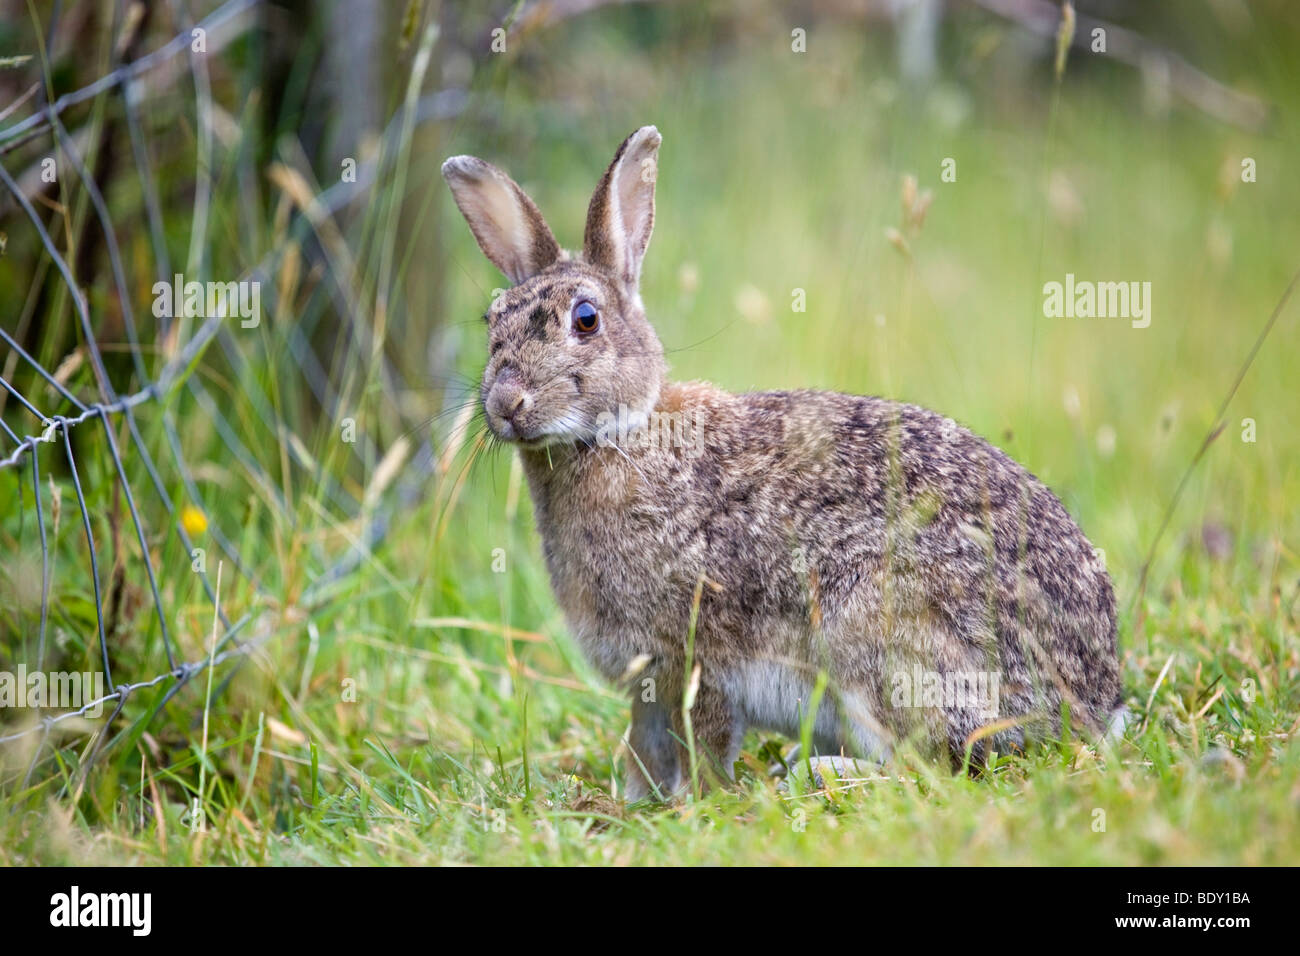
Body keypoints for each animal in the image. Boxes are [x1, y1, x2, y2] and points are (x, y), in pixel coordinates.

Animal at [441, 126, 1124, 801]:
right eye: (492, 322)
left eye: (585, 320)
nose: (505, 404)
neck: (617, 438)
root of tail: (1096, 700)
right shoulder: (646, 680)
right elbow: (646, 744)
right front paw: (635, 802)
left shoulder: (697, 655)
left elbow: (701, 736)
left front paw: (697, 801)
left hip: (874, 636)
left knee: (938, 761)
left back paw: (819, 772)